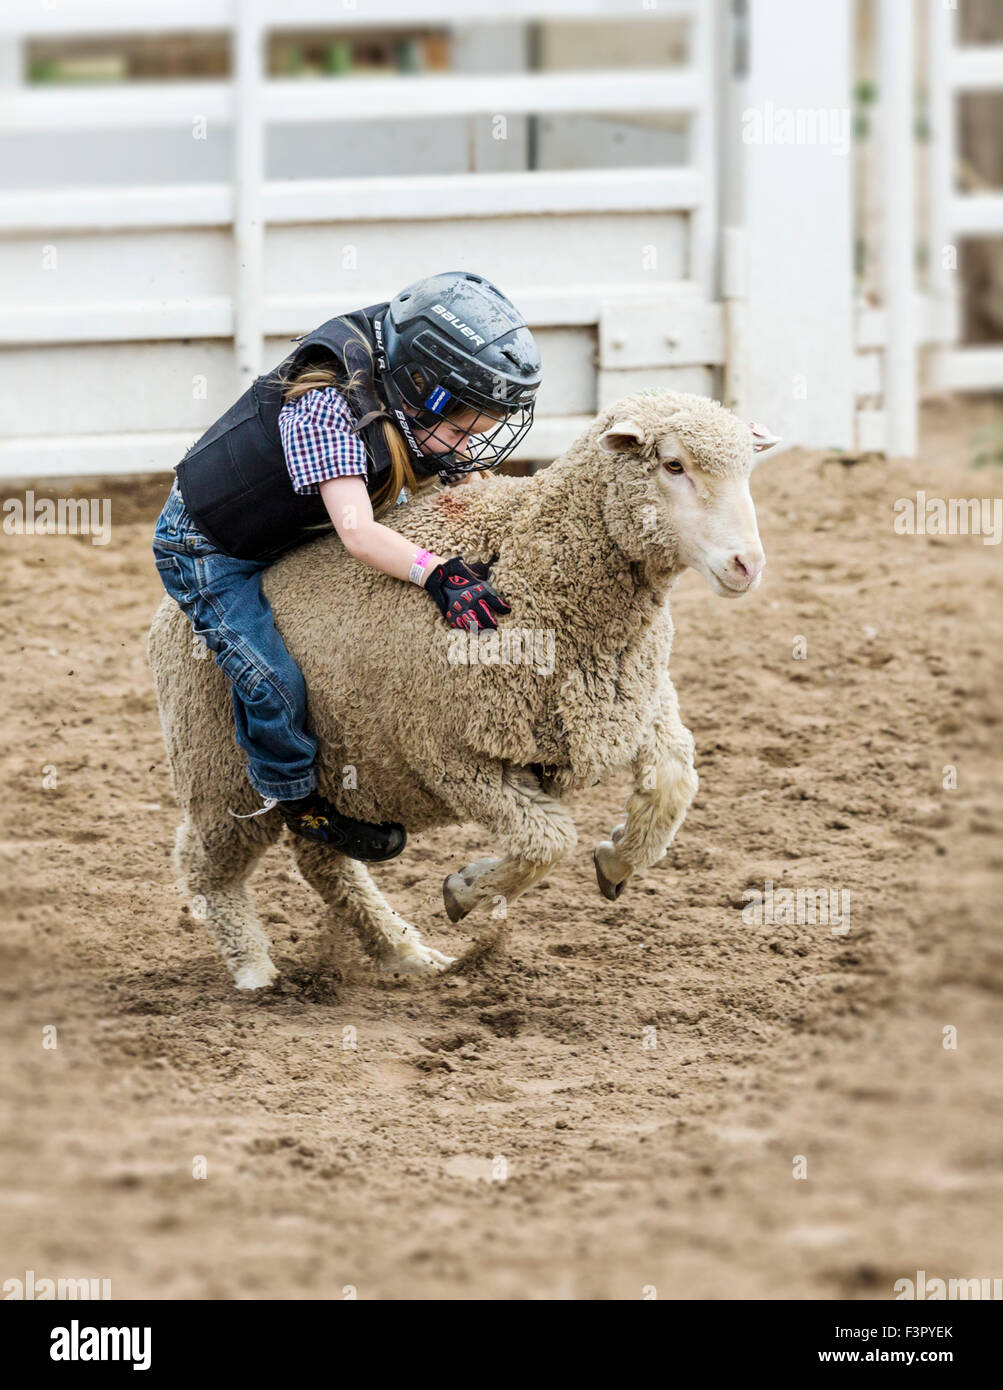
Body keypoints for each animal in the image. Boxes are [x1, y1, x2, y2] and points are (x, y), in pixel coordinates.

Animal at [147, 390, 778, 990]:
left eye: (747, 468)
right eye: (673, 464)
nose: (747, 565)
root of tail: (166, 618)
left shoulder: (631, 708)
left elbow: (674, 783)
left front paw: (616, 861)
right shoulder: (450, 756)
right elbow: (548, 840)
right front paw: (466, 890)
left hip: (337, 774)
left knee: (324, 862)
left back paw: (403, 951)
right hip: (222, 772)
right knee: (206, 864)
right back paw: (255, 968)